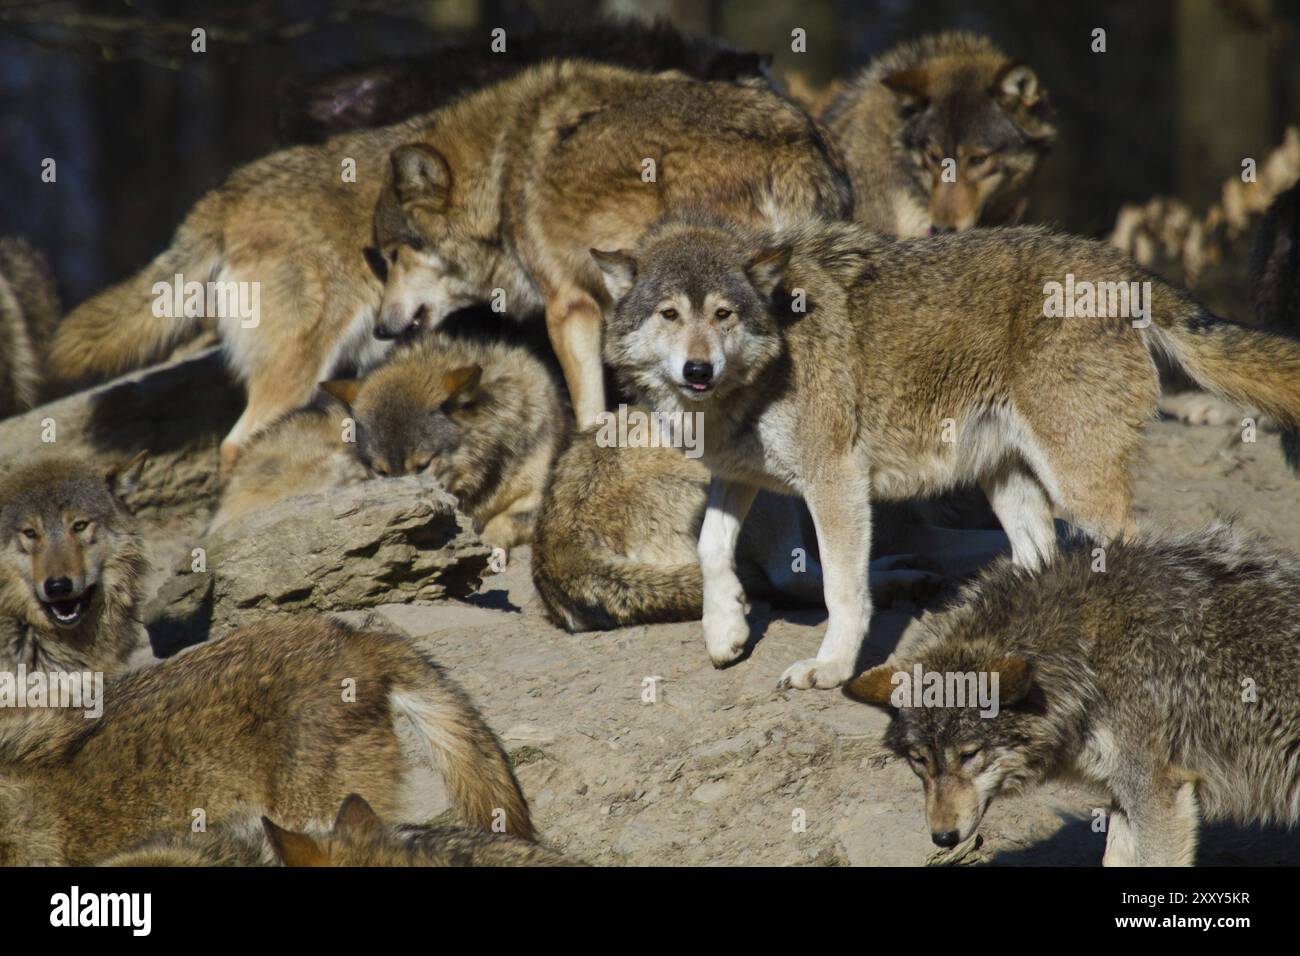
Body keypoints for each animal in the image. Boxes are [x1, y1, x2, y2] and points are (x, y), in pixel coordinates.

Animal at [48, 62, 847, 471]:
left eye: (398, 253)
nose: (385, 324)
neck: (500, 171)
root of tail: (224, 192)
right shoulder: (584, 311)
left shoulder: (574, 308)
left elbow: (590, 408)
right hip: (300, 368)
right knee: (234, 444)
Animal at [595, 217, 1300, 689]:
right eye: (668, 314)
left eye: (723, 314)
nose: (698, 370)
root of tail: (1122, 268)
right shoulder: (742, 476)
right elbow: (710, 547)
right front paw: (726, 631)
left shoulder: (835, 482)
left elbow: (842, 591)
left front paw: (830, 668)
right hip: (1008, 481)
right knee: (1043, 559)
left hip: (1077, 484)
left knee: (1130, 553)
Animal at [845, 525, 1300, 866]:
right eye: (919, 761)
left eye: (970, 755)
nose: (942, 837)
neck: (1084, 655)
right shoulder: (1124, 794)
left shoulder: (1158, 794)